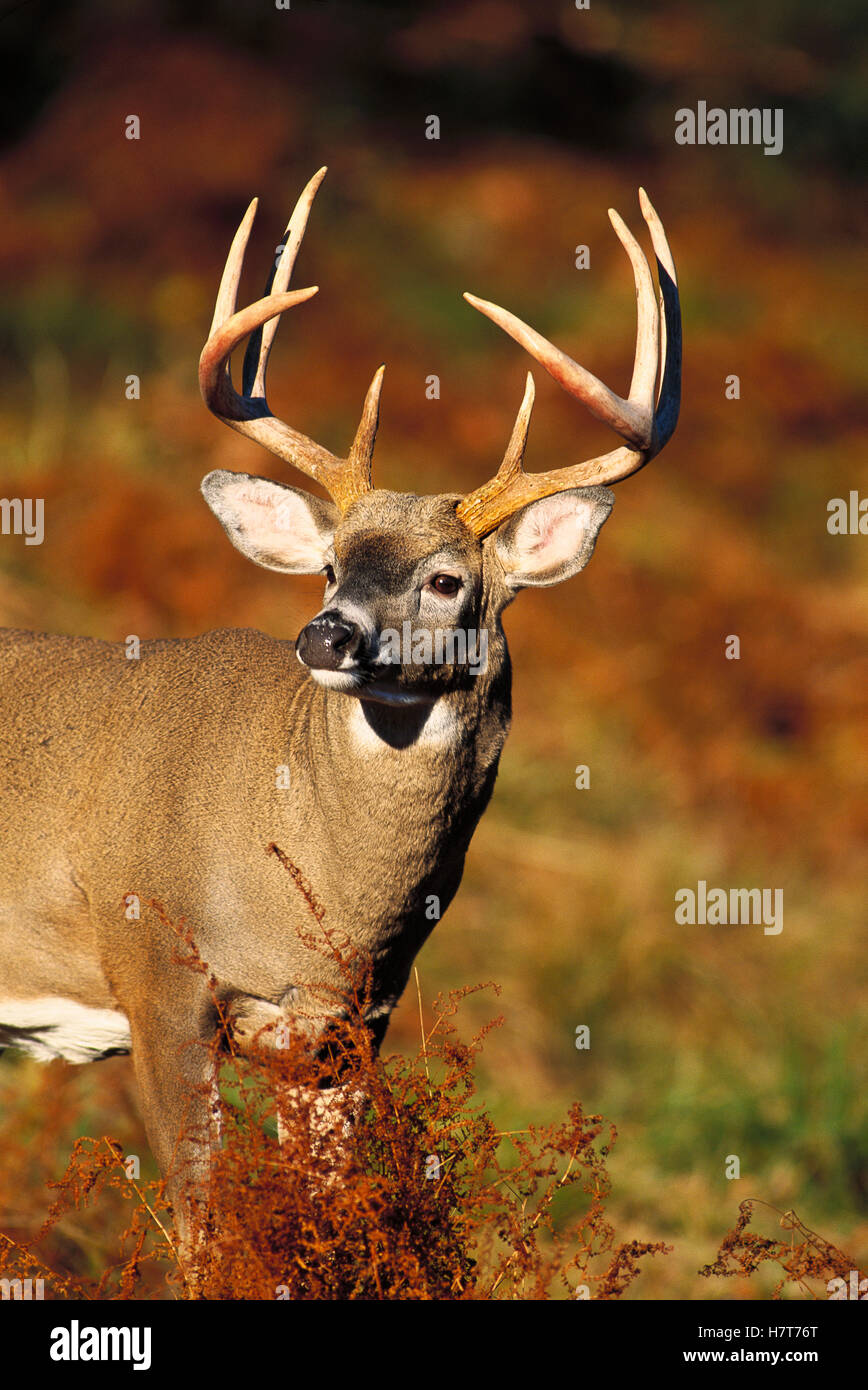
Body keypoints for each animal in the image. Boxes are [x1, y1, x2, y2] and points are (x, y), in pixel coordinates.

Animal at [0, 168, 680, 1268]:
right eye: (327, 564)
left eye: (446, 579)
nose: (324, 635)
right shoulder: (156, 969)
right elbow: (203, 1235)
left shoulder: (345, 1031)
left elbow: (319, 1227)